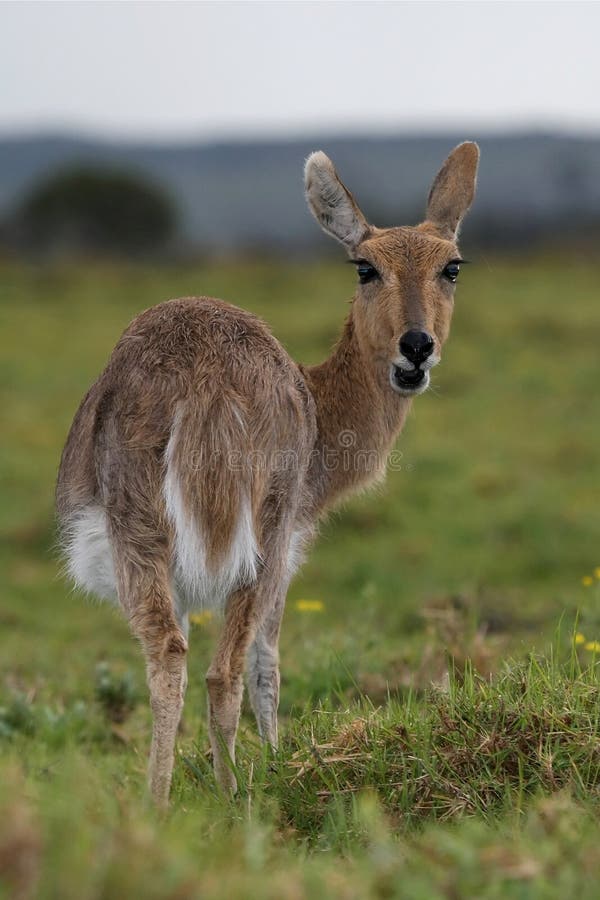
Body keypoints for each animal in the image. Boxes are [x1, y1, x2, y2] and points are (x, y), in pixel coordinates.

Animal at [56, 142, 479, 805]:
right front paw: (278, 761)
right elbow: (268, 665)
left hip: (140, 534)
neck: (321, 408)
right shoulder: (287, 551)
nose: (416, 346)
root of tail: (203, 375)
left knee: (170, 655)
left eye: (451, 267)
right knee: (224, 670)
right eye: (365, 267)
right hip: (260, 543)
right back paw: (235, 795)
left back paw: (157, 803)